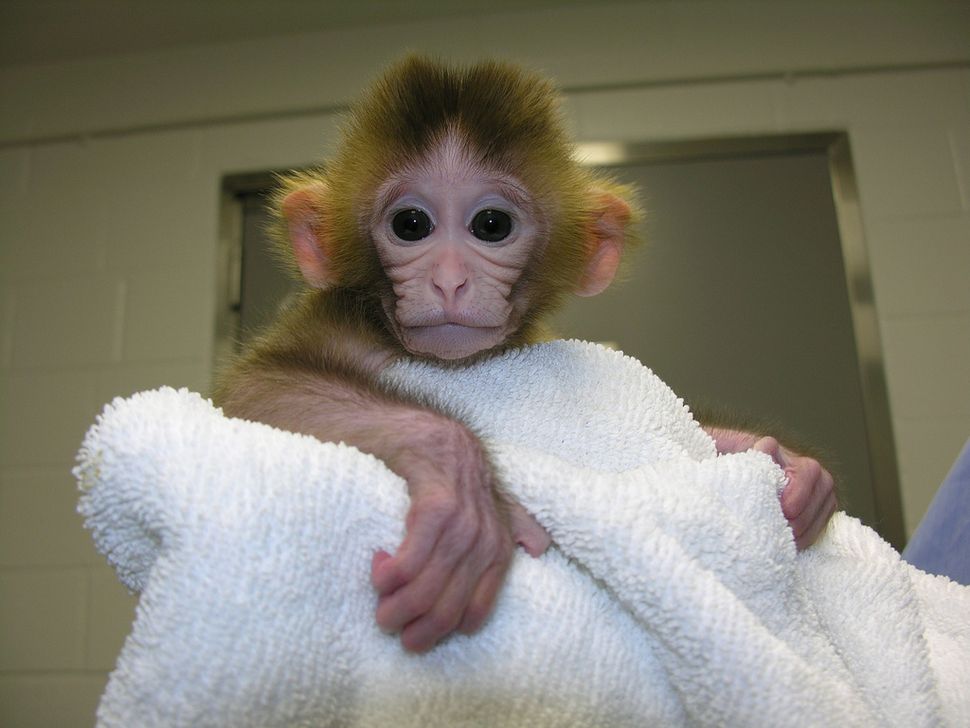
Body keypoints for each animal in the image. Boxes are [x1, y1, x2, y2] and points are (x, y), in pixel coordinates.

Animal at [213, 55, 836, 654]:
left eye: (491, 225)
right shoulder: (334, 317)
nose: (449, 280)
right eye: (410, 224)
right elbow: (248, 392)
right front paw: (460, 487)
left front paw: (785, 464)